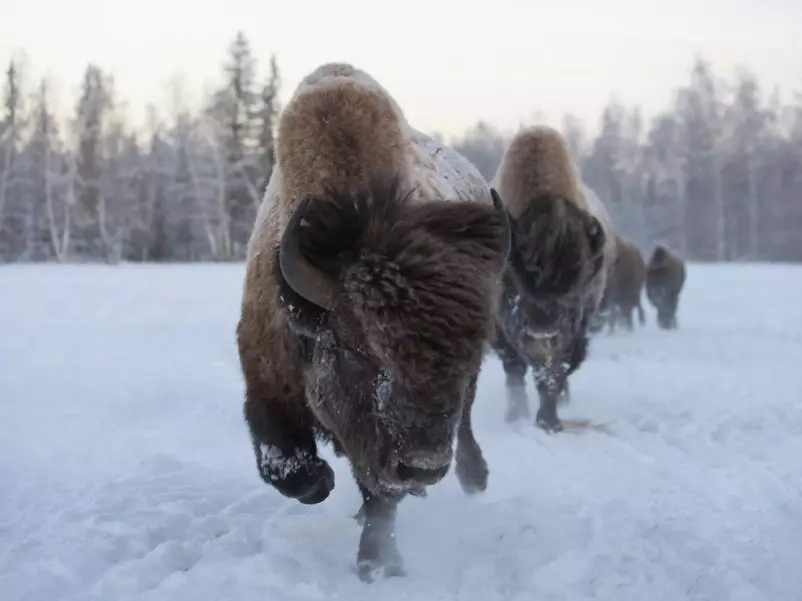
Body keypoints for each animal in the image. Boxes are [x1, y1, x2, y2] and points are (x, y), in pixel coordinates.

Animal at [234, 64, 510, 580]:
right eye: (353, 348)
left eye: (465, 350)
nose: (424, 466)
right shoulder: (267, 382)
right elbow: (291, 469)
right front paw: (323, 482)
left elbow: (381, 495)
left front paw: (378, 565)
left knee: (464, 424)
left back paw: (474, 477)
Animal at [488, 126, 612, 434]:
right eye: (513, 281)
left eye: (575, 290)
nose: (542, 330)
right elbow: (517, 369)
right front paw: (516, 416)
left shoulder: (576, 330)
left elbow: (554, 374)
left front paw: (549, 422)